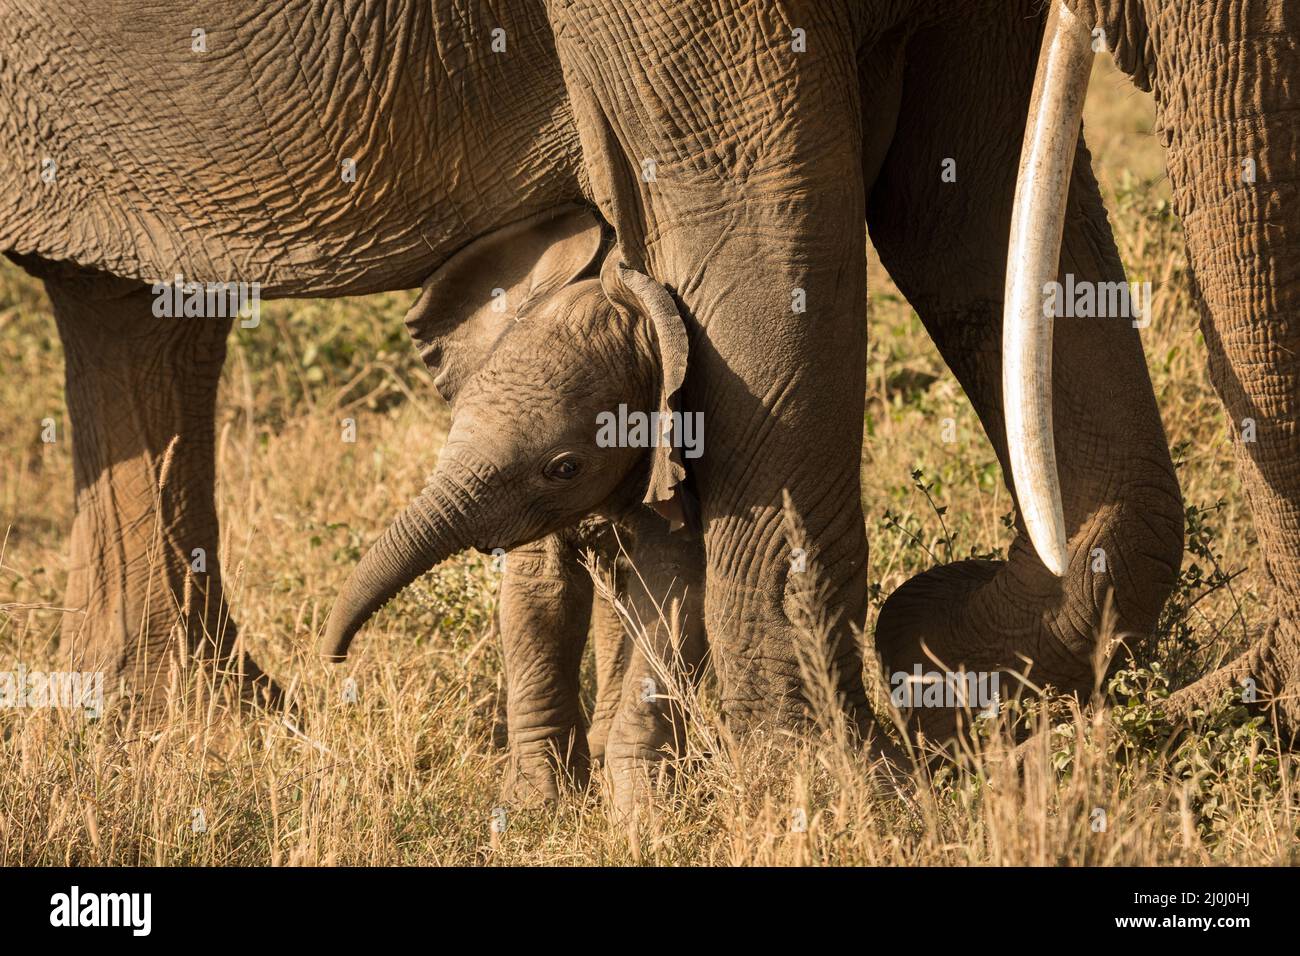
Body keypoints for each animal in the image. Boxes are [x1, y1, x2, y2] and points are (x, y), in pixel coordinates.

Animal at [319, 206, 707, 805]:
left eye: (566, 467)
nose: (333, 660)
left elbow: (673, 593)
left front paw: (643, 809)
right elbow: (538, 595)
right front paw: (535, 805)